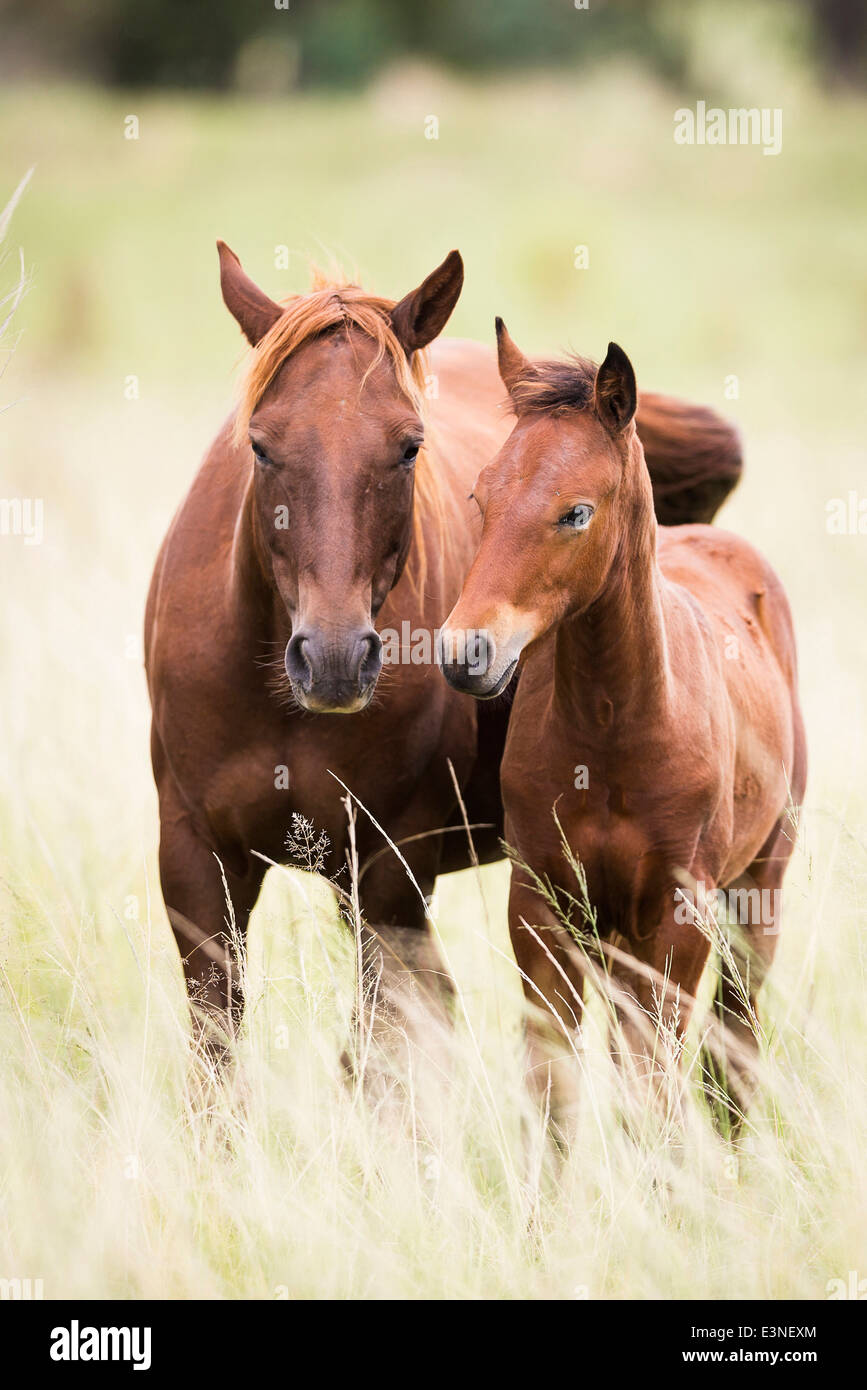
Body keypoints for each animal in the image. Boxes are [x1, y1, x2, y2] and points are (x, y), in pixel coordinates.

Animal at [145, 245, 745, 1075]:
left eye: (409, 447)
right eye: (259, 446)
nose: (334, 661)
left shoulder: (391, 870)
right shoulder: (195, 866)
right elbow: (217, 1057)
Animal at [439, 320, 806, 1129]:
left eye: (576, 512)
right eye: (480, 495)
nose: (464, 652)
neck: (612, 735)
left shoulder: (677, 921)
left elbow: (658, 1093)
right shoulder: (542, 911)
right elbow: (553, 1094)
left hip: (756, 893)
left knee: (730, 1060)